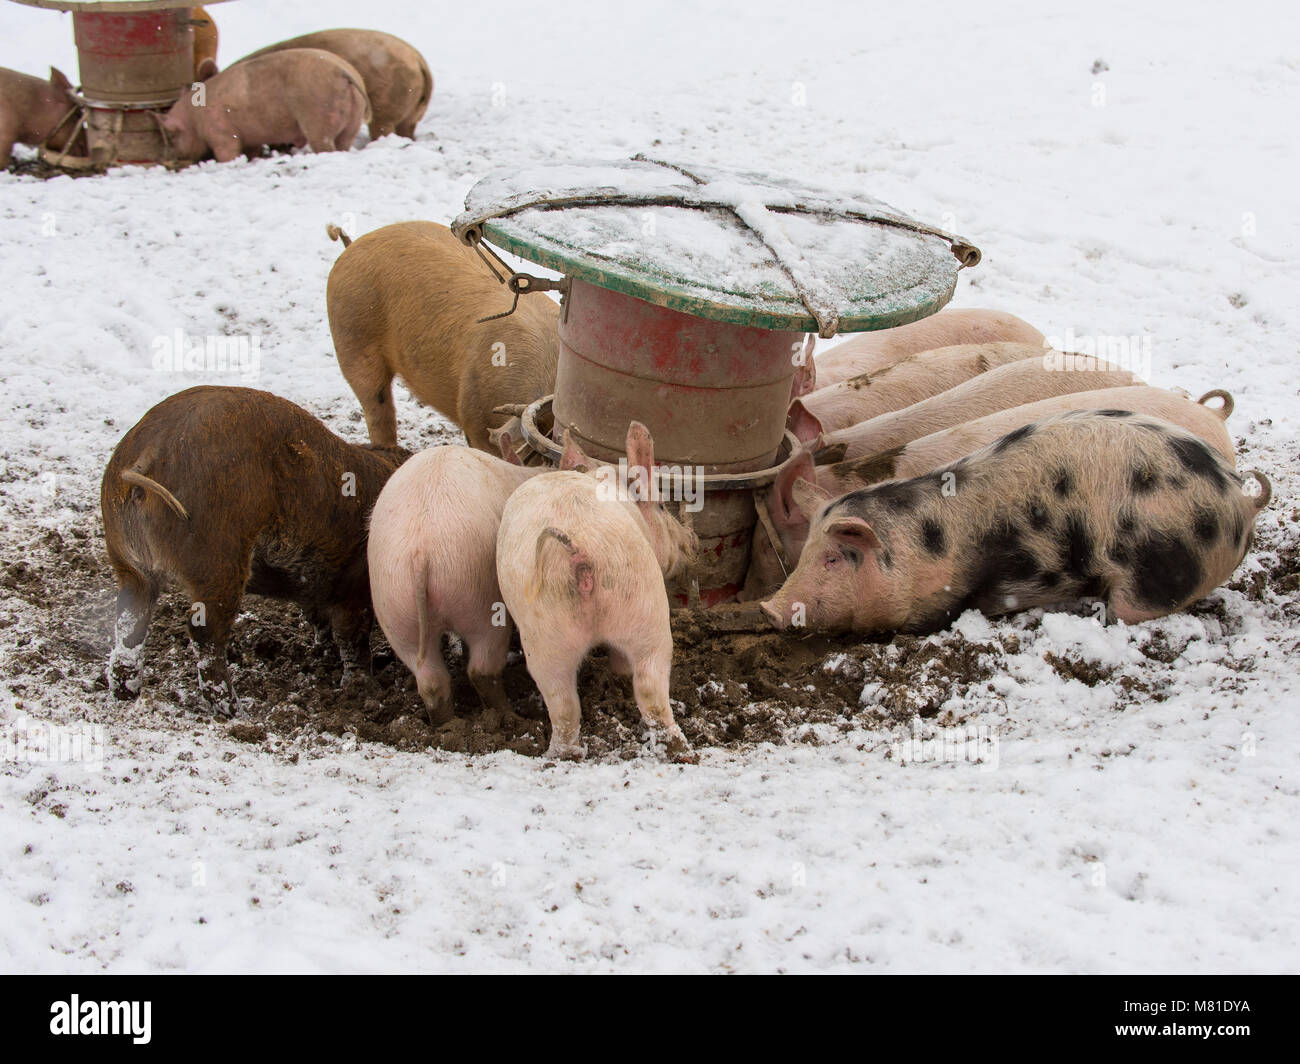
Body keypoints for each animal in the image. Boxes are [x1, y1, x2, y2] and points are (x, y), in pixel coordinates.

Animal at [102, 386, 409, 715]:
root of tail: (150, 451)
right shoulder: (354, 583)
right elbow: (352, 637)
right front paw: (362, 688)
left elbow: (320, 621)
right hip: (219, 559)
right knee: (203, 634)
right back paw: (236, 710)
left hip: (127, 562)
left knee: (128, 622)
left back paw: (125, 694)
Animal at [161, 48, 370, 162]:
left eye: (172, 136)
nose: (169, 159)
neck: (194, 118)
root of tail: (341, 71)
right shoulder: (251, 138)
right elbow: (252, 151)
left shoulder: (222, 133)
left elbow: (228, 153)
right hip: (353, 120)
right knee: (344, 142)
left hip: (317, 116)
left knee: (325, 143)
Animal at [367, 444, 542, 727]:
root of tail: (422, 551)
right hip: (481, 598)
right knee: (482, 671)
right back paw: (509, 718)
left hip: (393, 606)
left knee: (431, 681)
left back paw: (446, 726)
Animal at [496, 424, 699, 762]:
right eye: (660, 506)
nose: (693, 544)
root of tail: (580, 552)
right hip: (643, 605)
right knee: (641, 686)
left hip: (559, 626)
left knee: (570, 703)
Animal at [761, 410, 1271, 634]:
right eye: (805, 554)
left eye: (832, 559)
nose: (768, 607)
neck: (926, 545)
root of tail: (1241, 496)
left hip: (1155, 576)